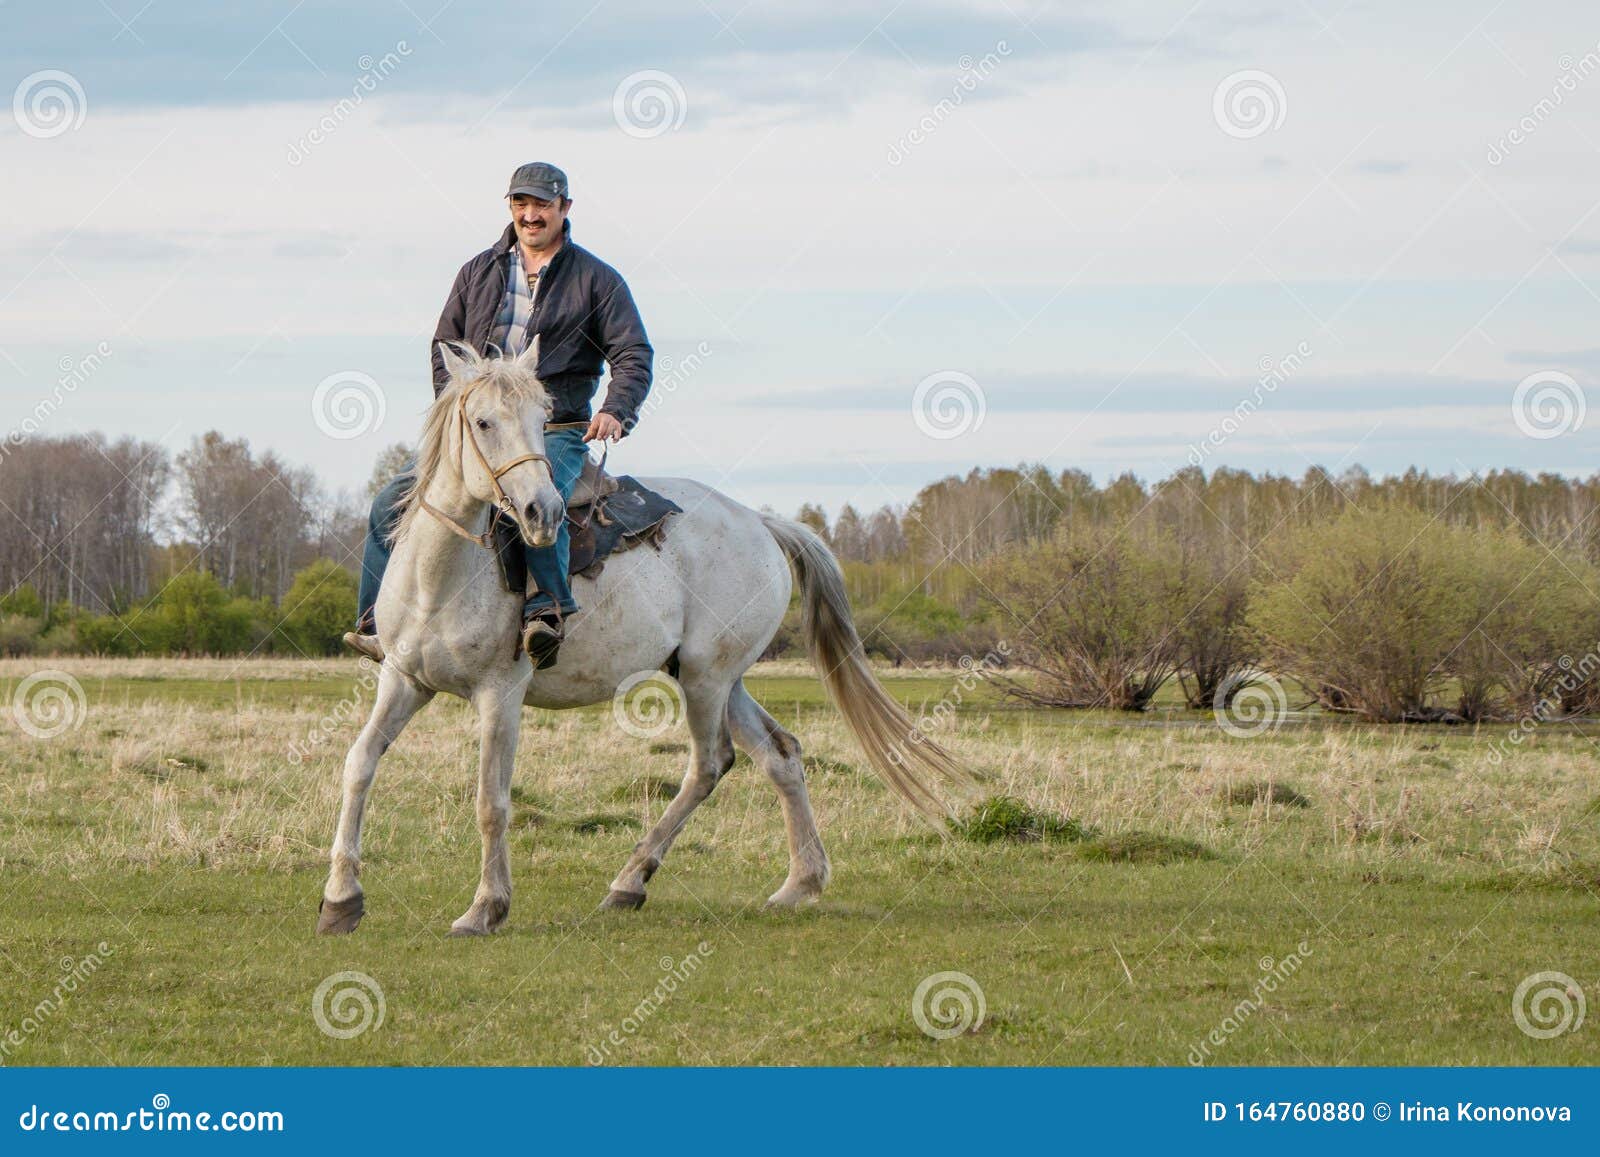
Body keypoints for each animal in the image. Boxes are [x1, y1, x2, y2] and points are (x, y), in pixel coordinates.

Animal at [317, 339, 972, 936]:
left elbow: (491, 801)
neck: (444, 575)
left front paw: (485, 908)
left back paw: (630, 880)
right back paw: (799, 883)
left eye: (542, 419)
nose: (541, 513)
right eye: (483, 421)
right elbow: (358, 765)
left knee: (709, 765)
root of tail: (760, 522)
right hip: (718, 678)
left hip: (707, 679)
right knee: (780, 753)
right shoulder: (404, 680)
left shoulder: (499, 695)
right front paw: (341, 899)